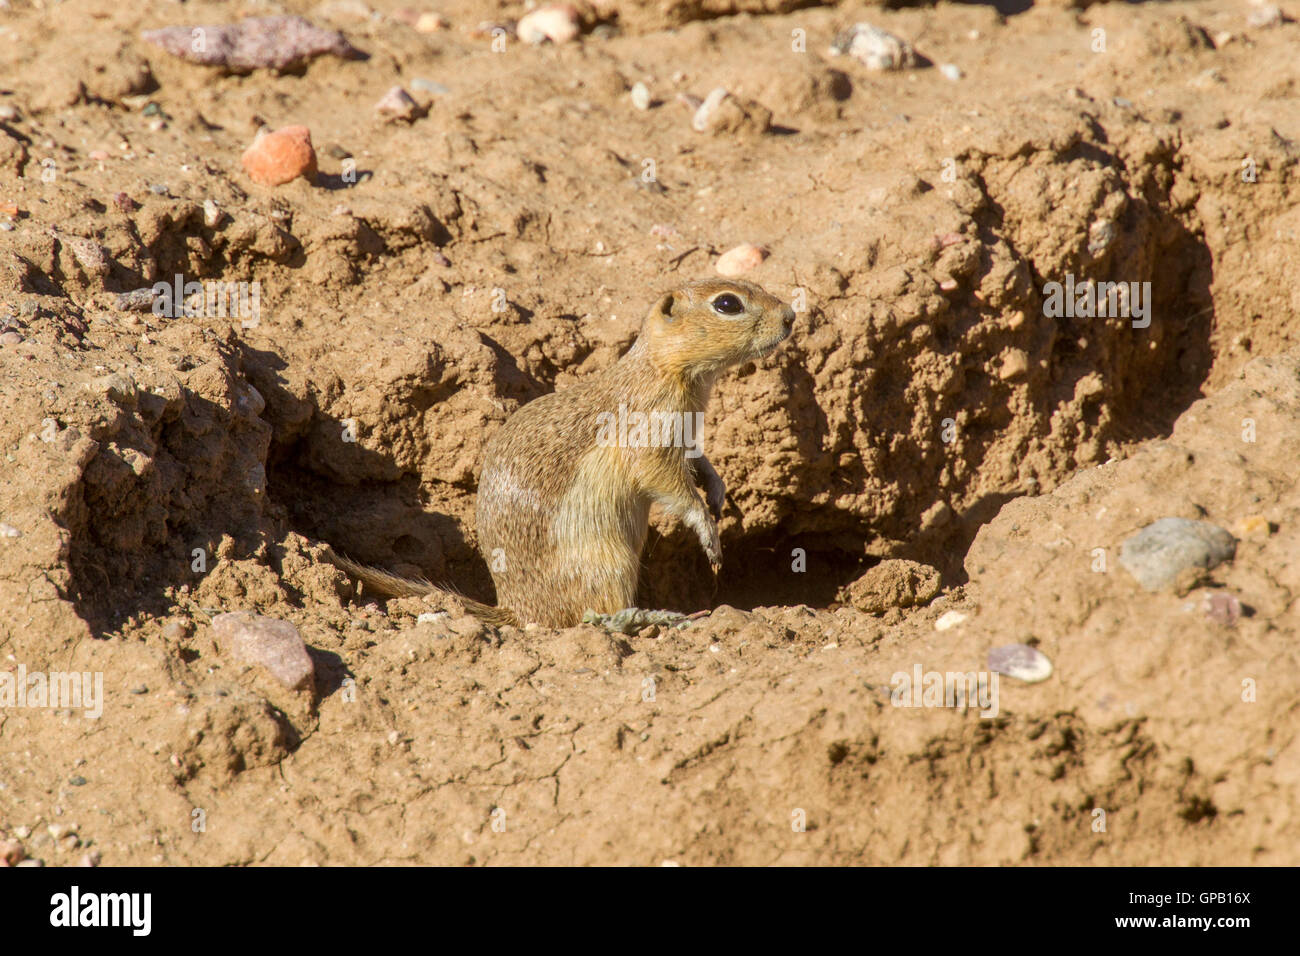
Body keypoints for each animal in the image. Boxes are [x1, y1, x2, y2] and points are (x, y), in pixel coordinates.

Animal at [327, 277, 795, 628]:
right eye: (727, 303)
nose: (791, 315)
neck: (664, 370)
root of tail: (517, 610)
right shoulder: (650, 437)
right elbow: (667, 482)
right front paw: (707, 530)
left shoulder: (686, 435)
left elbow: (698, 460)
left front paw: (716, 489)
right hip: (609, 560)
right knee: (594, 615)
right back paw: (658, 616)